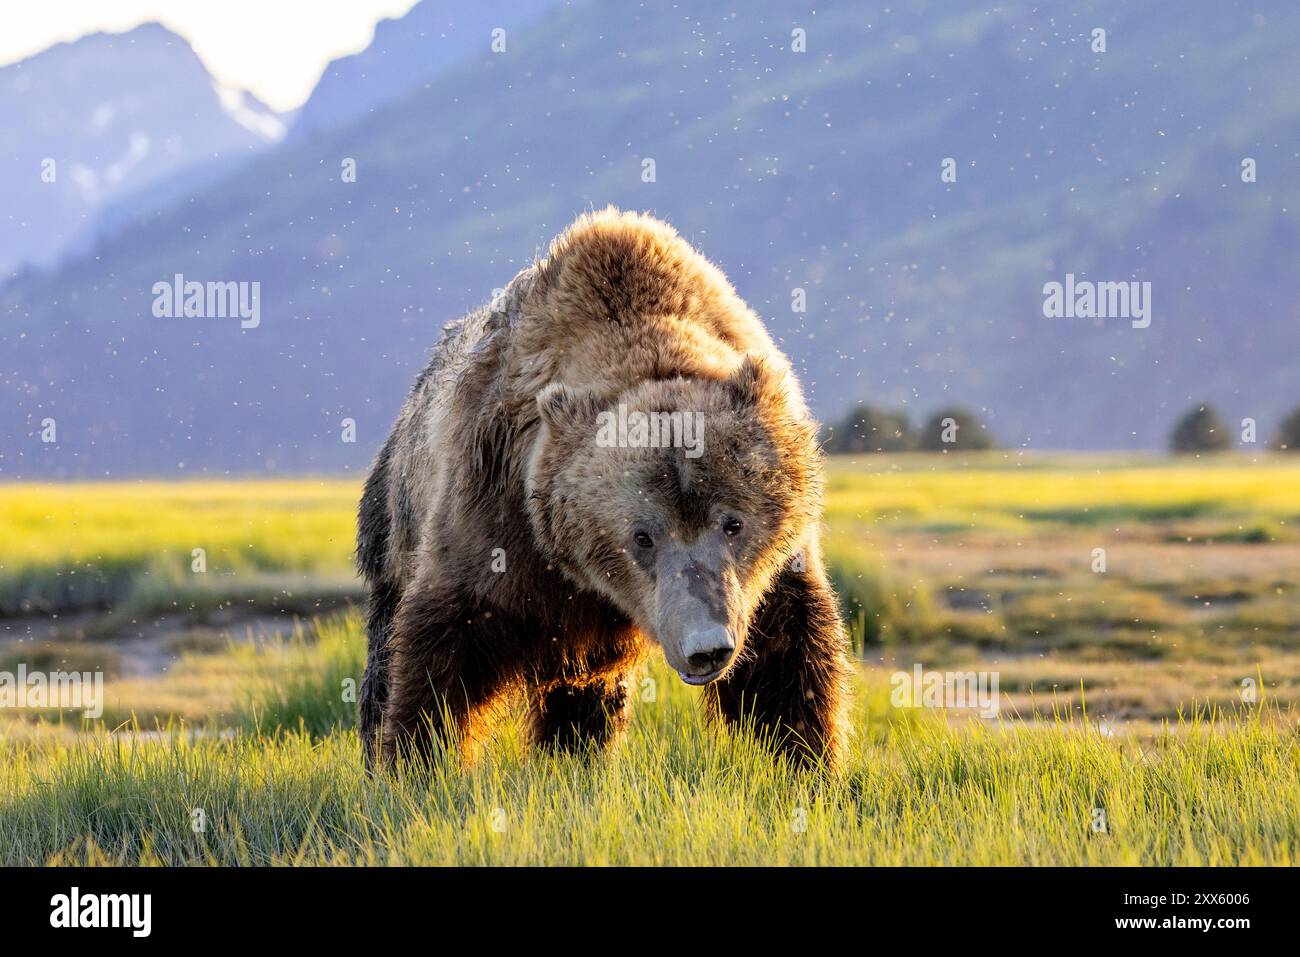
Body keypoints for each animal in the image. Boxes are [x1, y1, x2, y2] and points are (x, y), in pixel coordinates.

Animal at [356, 207, 852, 771]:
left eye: (733, 523)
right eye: (642, 536)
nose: (706, 645)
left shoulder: (769, 572)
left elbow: (785, 654)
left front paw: (807, 761)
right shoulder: (495, 504)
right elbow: (447, 645)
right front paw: (417, 761)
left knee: (588, 691)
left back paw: (576, 754)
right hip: (392, 523)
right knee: (387, 645)